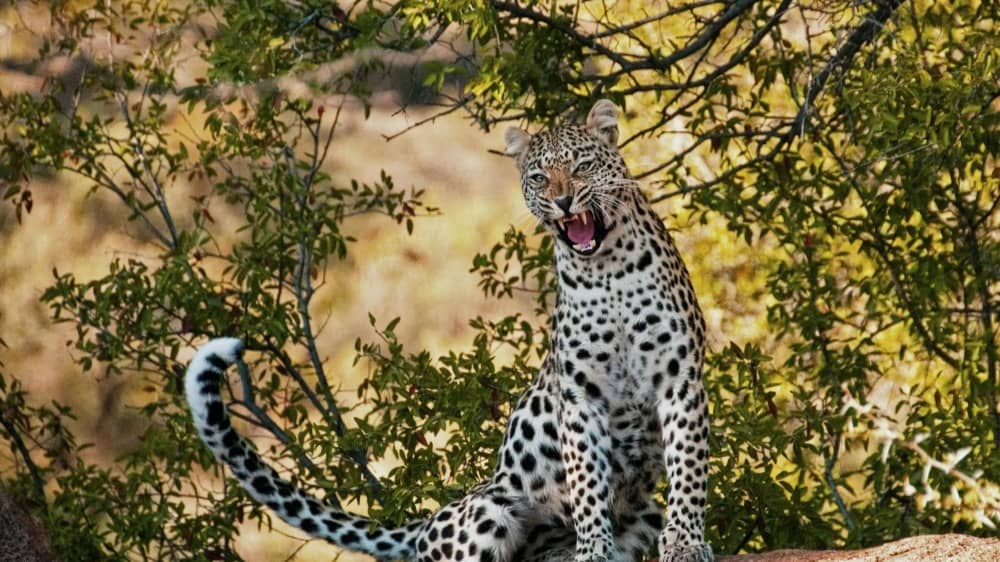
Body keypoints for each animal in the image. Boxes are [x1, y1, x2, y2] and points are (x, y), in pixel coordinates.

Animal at [185, 99, 712, 562]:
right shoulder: (581, 394)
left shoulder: (679, 377)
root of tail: (427, 524)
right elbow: (586, 483)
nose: (562, 201)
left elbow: (688, 470)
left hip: (641, 511)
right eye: (539, 178)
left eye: (582, 165)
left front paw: (686, 542)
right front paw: (592, 549)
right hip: (487, 511)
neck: (608, 269)